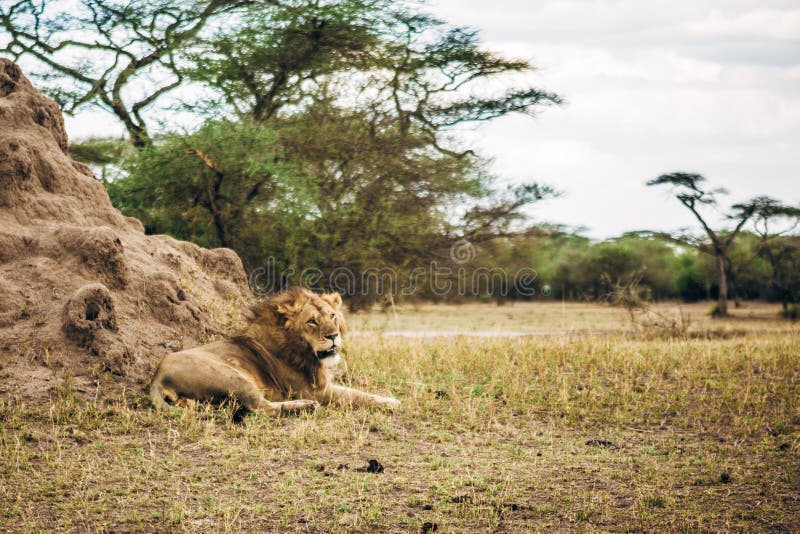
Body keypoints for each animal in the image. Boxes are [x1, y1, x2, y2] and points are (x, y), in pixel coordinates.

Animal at [149, 286, 400, 416]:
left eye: (332, 316)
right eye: (312, 321)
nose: (333, 336)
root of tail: (158, 376)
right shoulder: (315, 391)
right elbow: (356, 395)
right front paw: (391, 402)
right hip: (231, 376)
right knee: (260, 407)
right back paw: (303, 407)